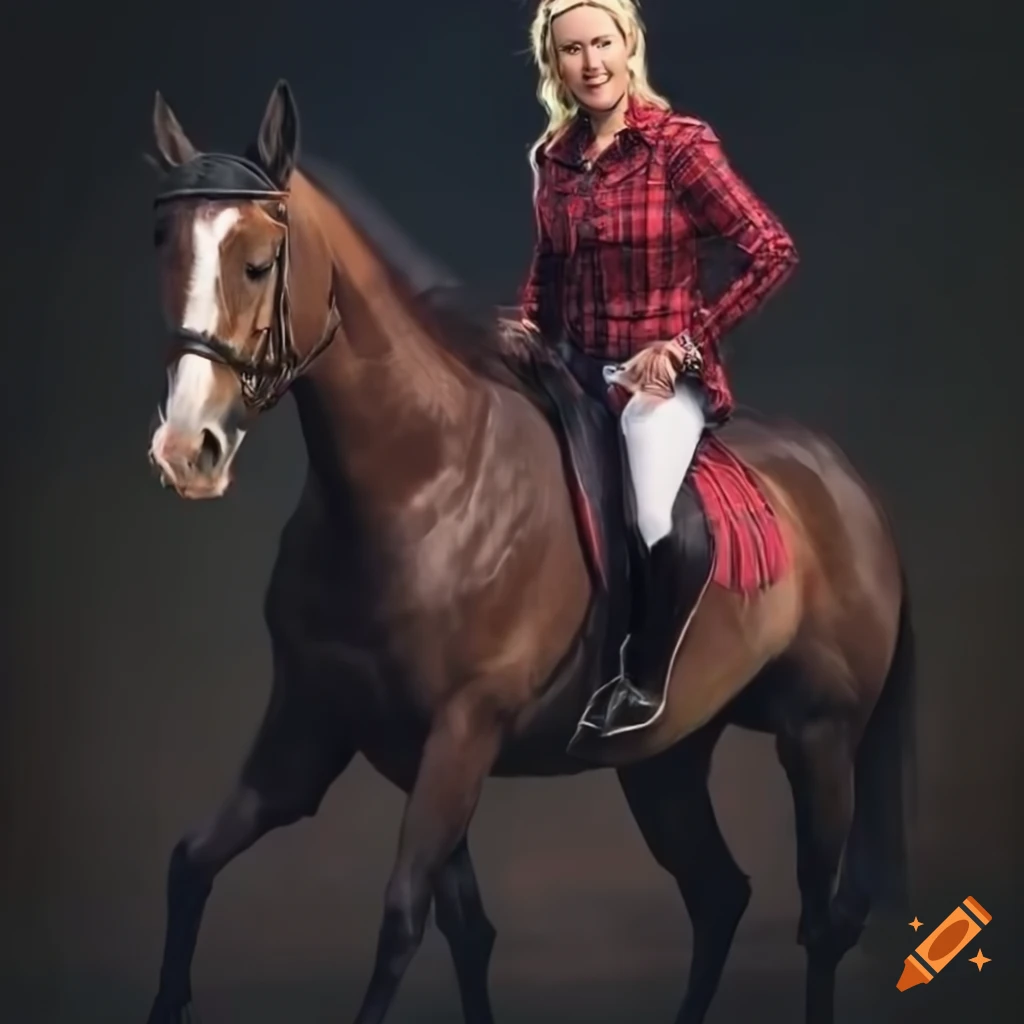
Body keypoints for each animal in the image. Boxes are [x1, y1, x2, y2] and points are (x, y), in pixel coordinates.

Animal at [142, 80, 915, 1024]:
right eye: (164, 249)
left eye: (257, 261)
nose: (188, 448)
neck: (422, 477)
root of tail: (848, 486)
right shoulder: (315, 735)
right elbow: (198, 865)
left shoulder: (460, 737)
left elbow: (401, 923)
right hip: (666, 764)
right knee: (719, 895)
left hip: (820, 739)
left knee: (820, 921)